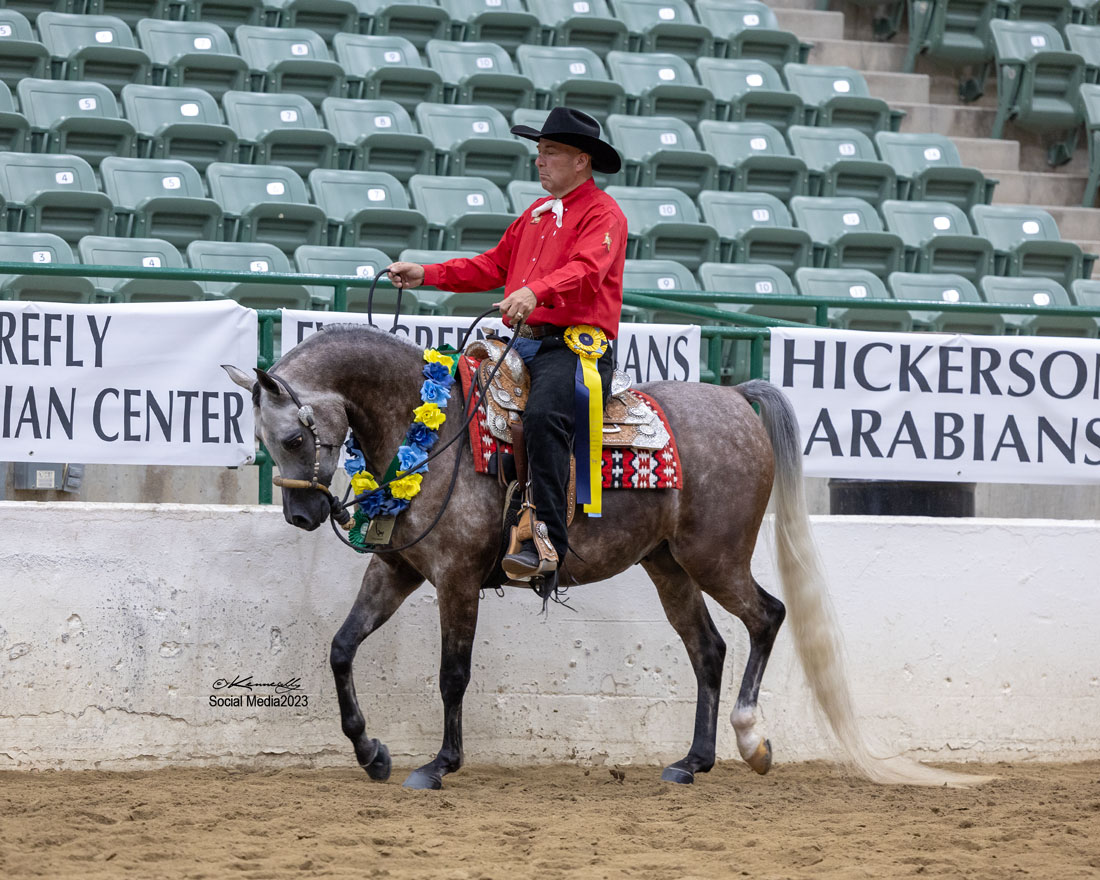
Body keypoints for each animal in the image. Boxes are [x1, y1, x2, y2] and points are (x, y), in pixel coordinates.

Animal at [224, 324, 983, 790]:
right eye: (261, 439)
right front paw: (371, 752)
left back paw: (750, 740)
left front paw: (439, 764)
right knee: (708, 648)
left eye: (291, 436)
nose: (301, 515)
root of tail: (735, 396)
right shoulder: (399, 570)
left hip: (715, 558)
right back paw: (692, 761)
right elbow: (341, 648)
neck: (433, 431)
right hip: (669, 566)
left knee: (767, 616)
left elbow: (452, 675)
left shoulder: (456, 581)